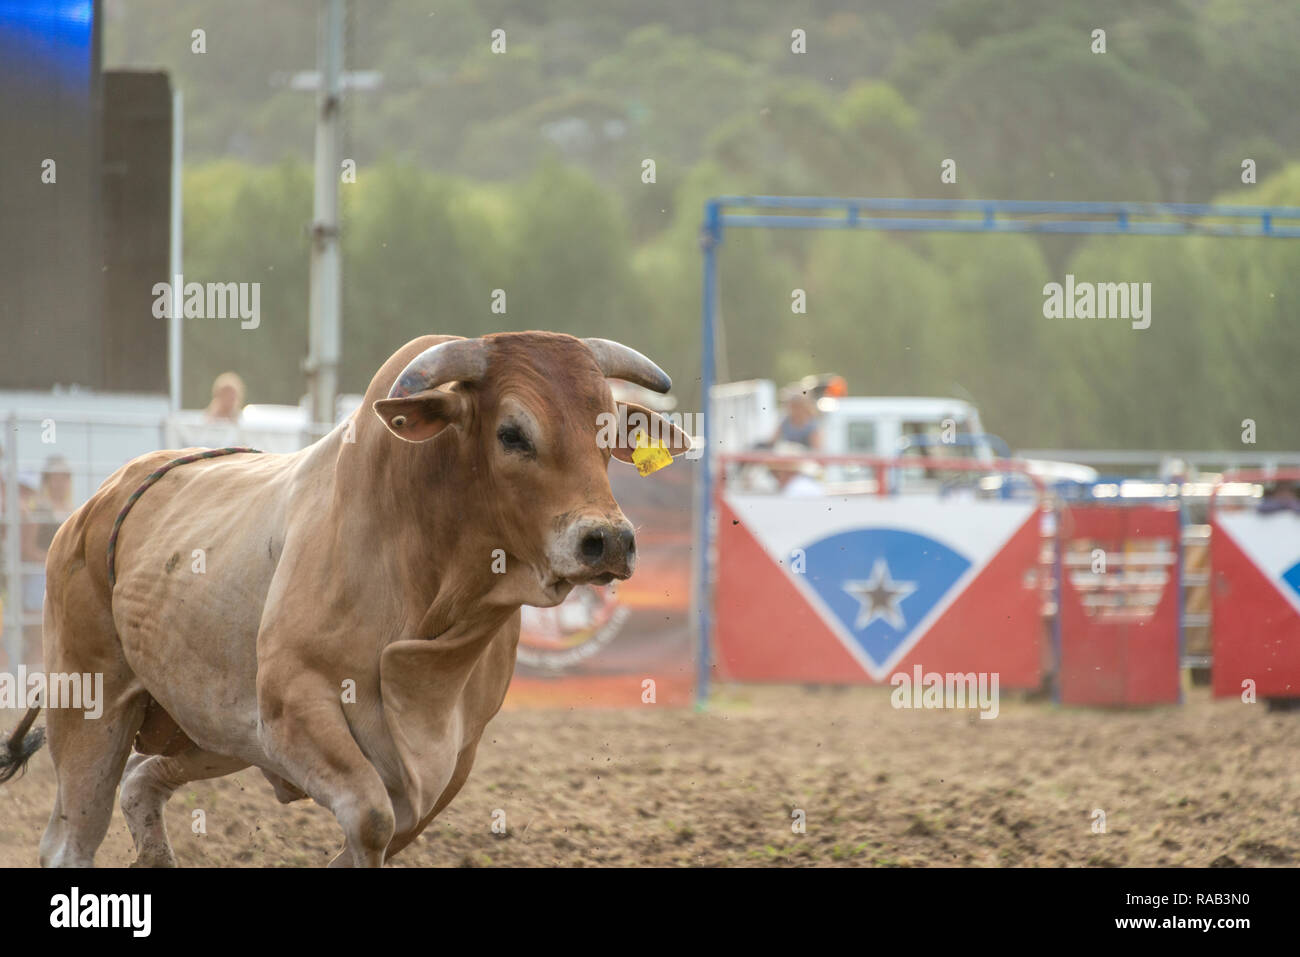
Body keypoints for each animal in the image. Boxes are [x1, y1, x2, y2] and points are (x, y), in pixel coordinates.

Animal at [0, 332, 690, 867]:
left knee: (141, 784)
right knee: (71, 841)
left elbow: (395, 825)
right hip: (91, 706)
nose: (608, 540)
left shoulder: (455, 754)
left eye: (607, 429)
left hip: (211, 733)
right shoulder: (295, 708)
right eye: (512, 433)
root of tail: (97, 502)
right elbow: (371, 818)